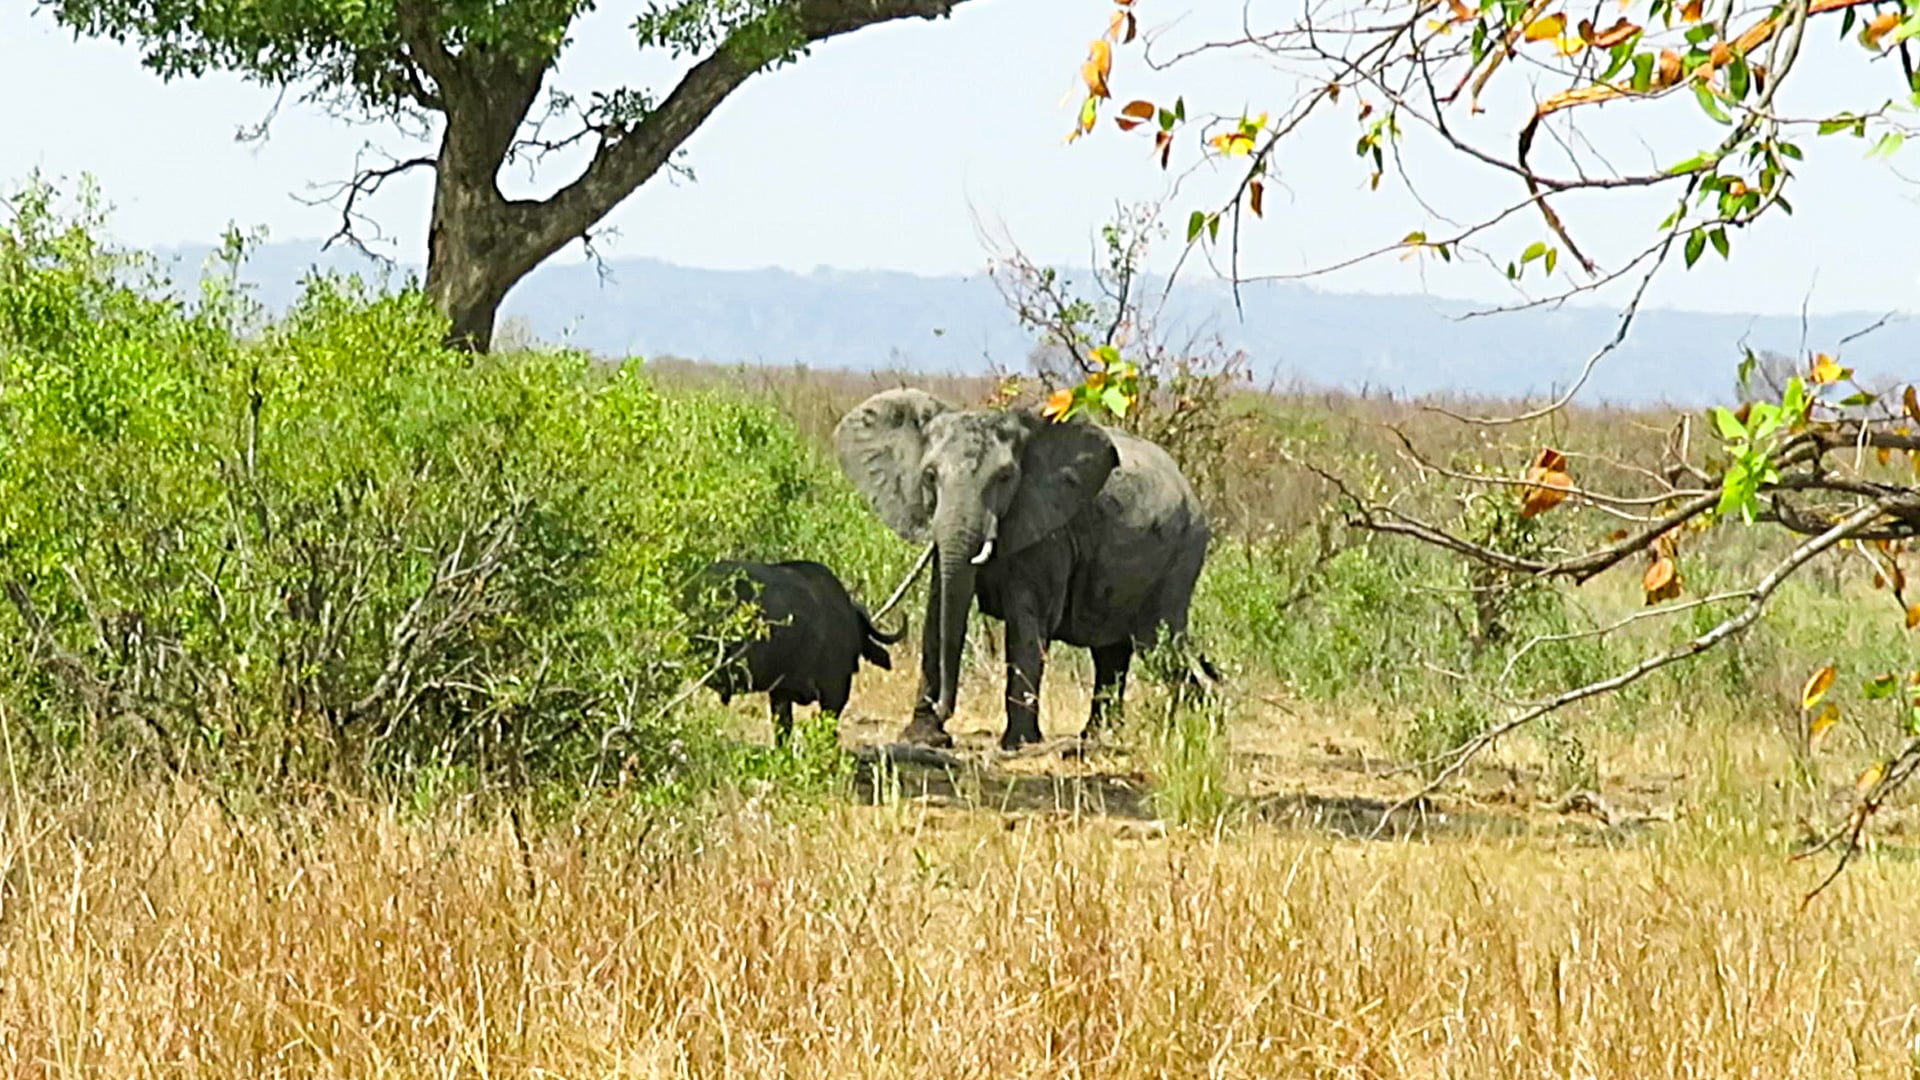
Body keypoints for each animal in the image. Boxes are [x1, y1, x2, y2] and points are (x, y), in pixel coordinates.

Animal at [833, 388, 1211, 750]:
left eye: (1005, 478)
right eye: (929, 476)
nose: (943, 711)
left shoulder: (1045, 528)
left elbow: (1027, 621)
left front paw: (1018, 744)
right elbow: (938, 609)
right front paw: (922, 738)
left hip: (1181, 555)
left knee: (1161, 645)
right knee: (1112, 653)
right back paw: (1096, 737)